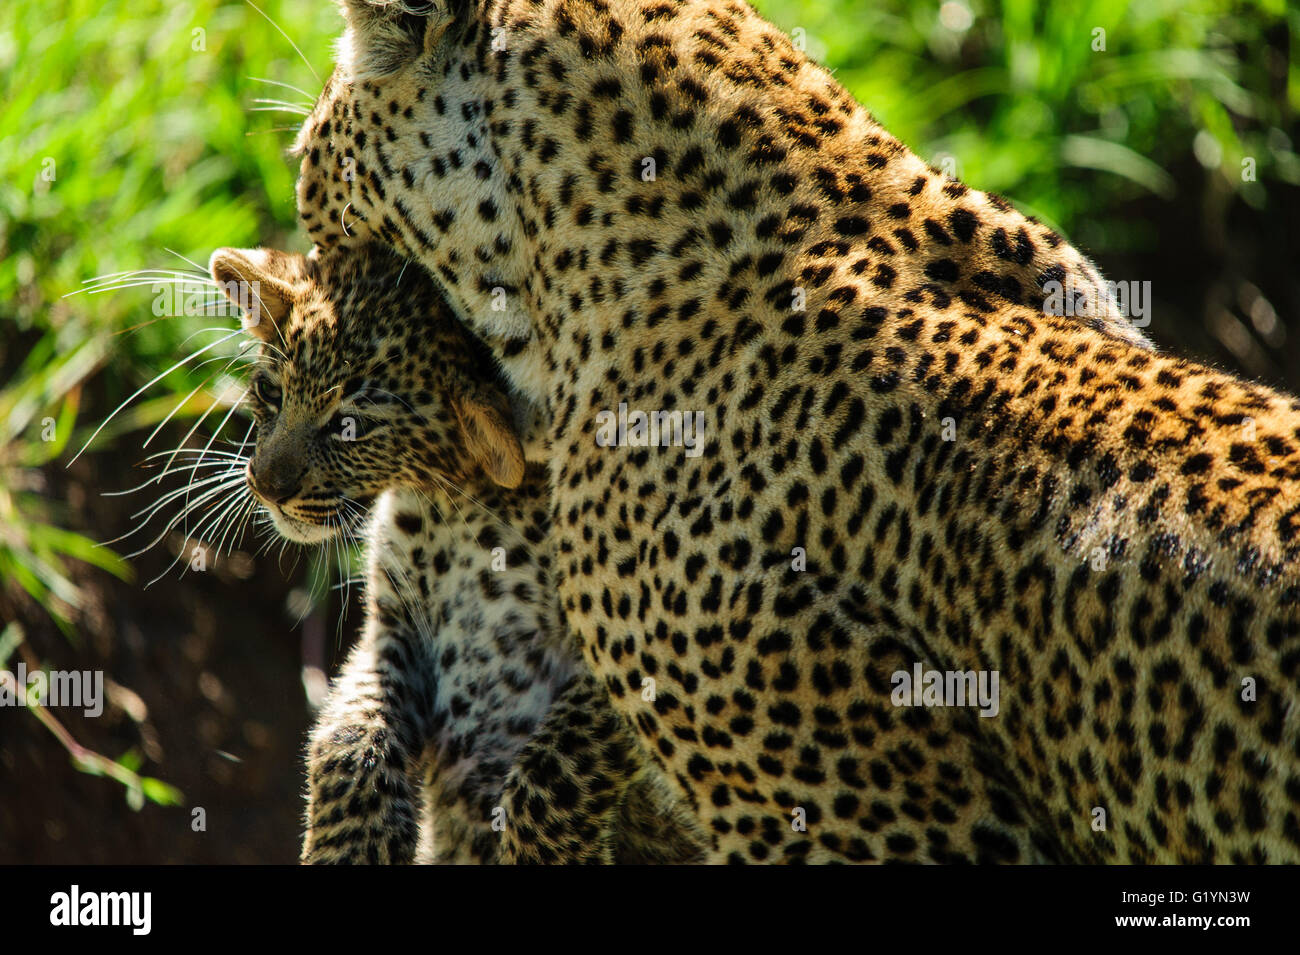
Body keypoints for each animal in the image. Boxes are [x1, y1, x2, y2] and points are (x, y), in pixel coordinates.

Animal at [208, 241, 706, 863]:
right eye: (271, 391)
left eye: (350, 425)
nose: (265, 486)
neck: (457, 506)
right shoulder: (394, 623)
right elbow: (349, 736)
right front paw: (352, 844)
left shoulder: (656, 660)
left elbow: (553, 771)